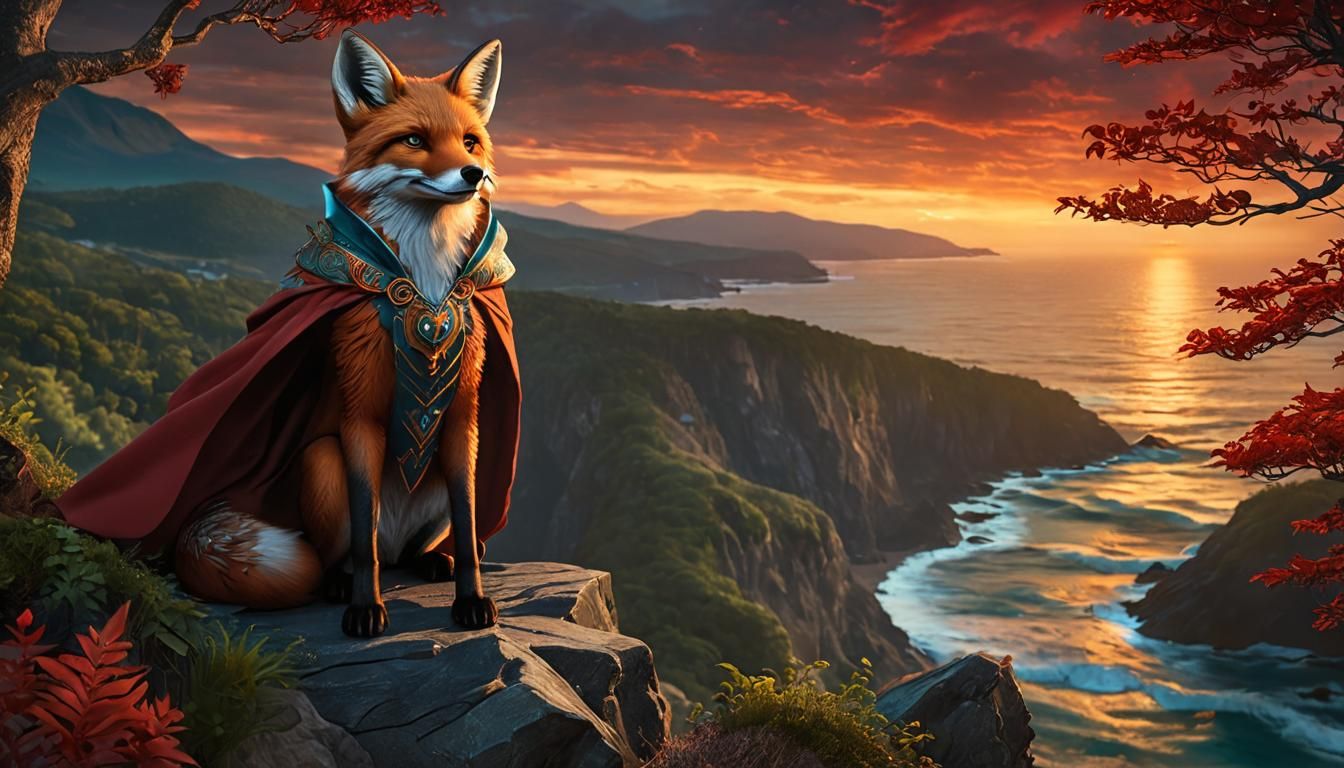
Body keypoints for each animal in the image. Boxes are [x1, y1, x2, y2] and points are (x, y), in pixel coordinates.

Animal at [170, 31, 506, 637]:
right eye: (415, 140)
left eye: (470, 142)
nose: (474, 174)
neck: (425, 294)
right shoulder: (359, 416)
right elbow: (362, 541)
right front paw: (365, 609)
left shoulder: (462, 417)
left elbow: (472, 533)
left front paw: (471, 601)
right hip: (322, 460)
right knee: (353, 550)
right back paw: (337, 583)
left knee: (412, 550)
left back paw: (431, 561)